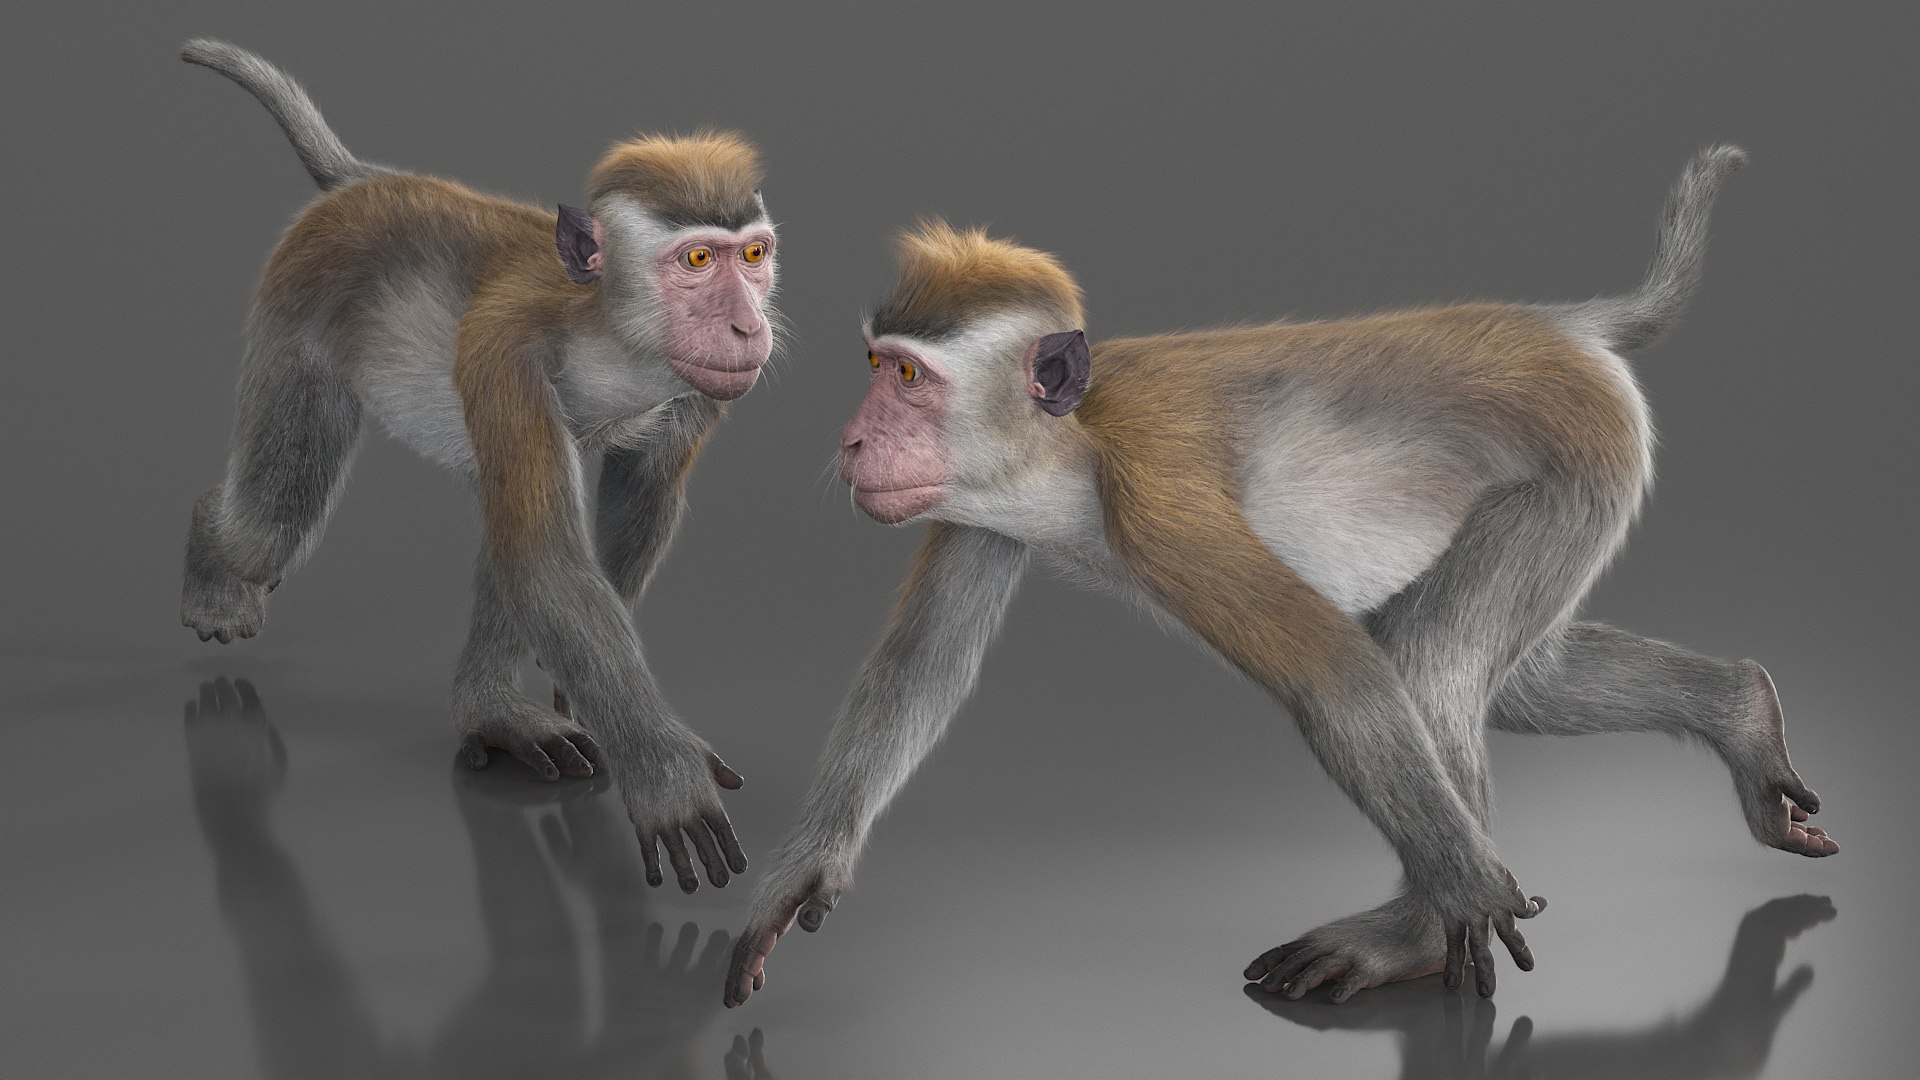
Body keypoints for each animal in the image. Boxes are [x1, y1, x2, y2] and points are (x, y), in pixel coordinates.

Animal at [177, 40, 776, 892]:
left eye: (753, 256)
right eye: (697, 259)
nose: (747, 324)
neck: (607, 334)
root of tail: (367, 185)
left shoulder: (699, 387)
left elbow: (633, 501)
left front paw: (558, 692)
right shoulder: (504, 354)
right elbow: (547, 563)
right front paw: (664, 774)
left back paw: (488, 709)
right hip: (297, 311)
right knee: (270, 518)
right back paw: (215, 563)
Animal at [725, 147, 1836, 1008]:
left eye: (909, 378)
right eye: (877, 364)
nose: (854, 437)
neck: (1071, 447)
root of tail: (1557, 326)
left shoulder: (1164, 503)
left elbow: (1338, 680)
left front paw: (1469, 900)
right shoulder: (975, 506)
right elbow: (919, 669)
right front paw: (804, 871)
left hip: (1581, 454)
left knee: (1429, 658)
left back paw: (1416, 935)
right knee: (1517, 676)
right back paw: (1741, 707)